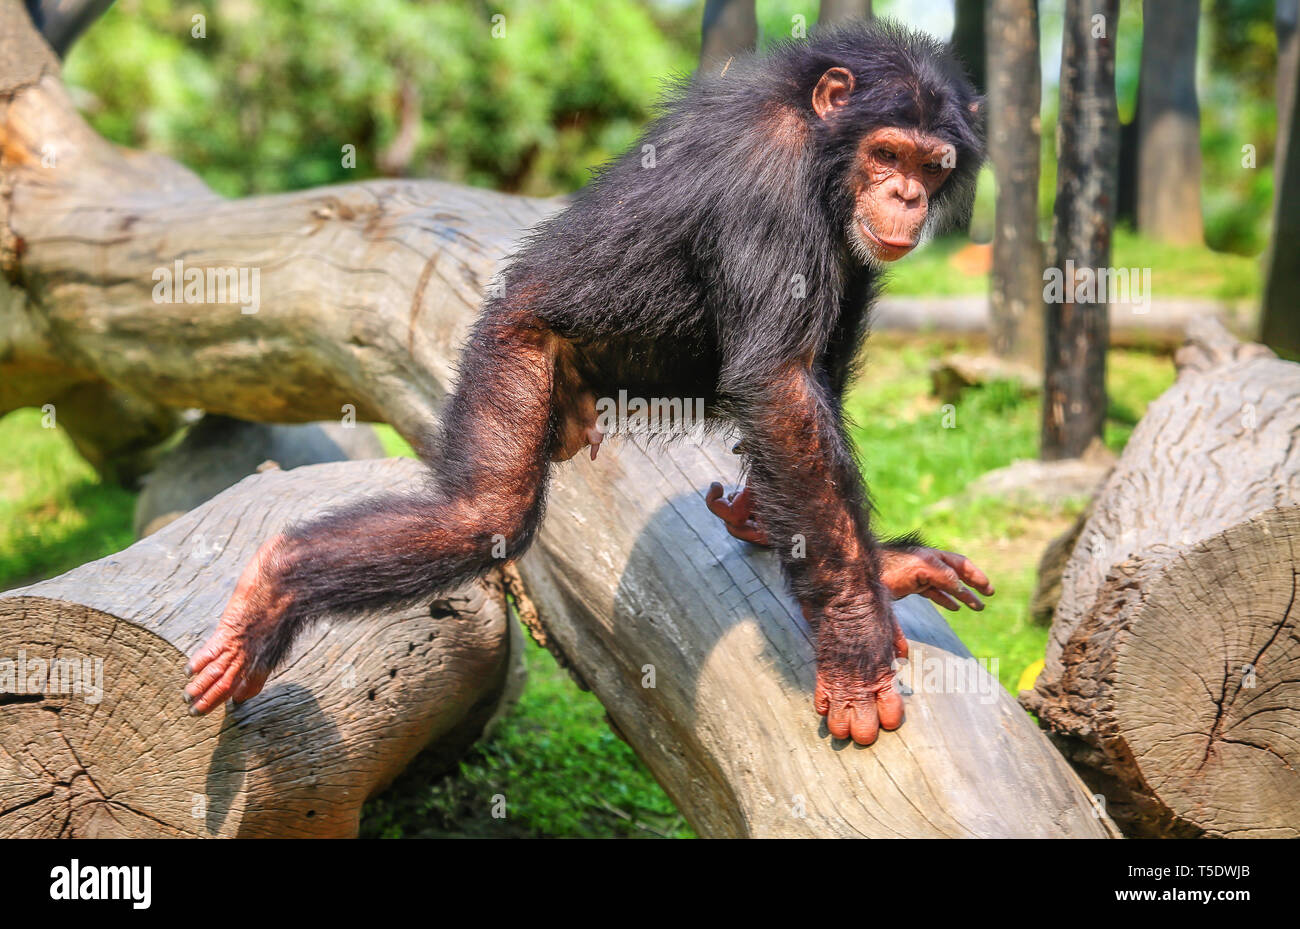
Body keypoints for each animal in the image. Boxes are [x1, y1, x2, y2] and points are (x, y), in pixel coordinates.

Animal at [185, 20, 994, 746]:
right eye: (886, 152)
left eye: (930, 166)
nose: (907, 196)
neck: (822, 151)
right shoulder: (769, 185)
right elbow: (781, 386)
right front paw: (856, 647)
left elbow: (807, 384)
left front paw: (882, 562)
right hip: (512, 351)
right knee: (483, 515)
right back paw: (273, 585)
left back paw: (761, 516)